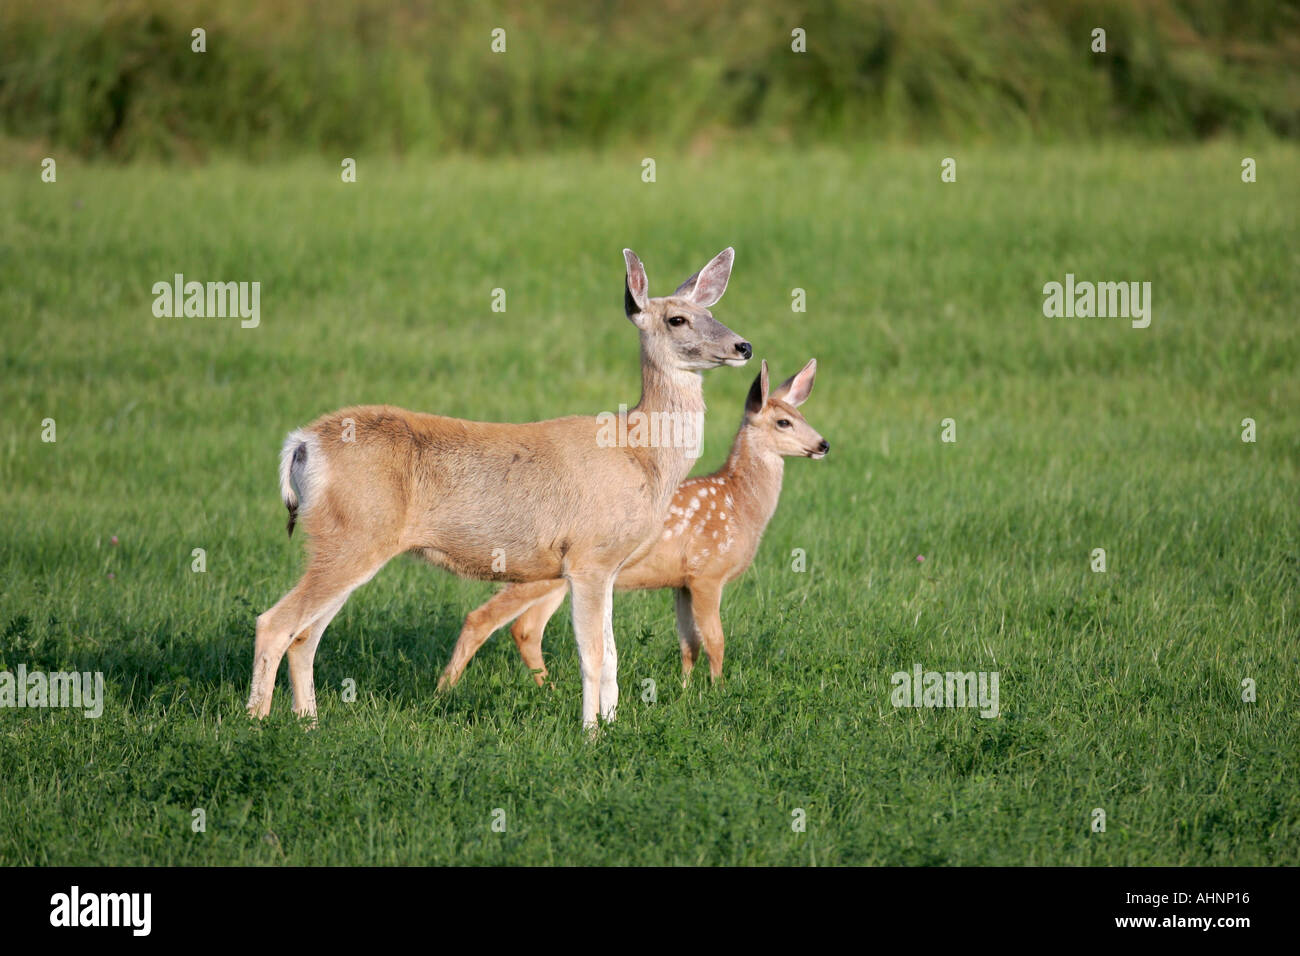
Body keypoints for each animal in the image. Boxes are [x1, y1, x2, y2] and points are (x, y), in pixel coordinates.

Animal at [246, 248, 752, 731]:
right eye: (677, 319)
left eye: (711, 311)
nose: (743, 345)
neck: (638, 451)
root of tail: (302, 443)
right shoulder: (587, 557)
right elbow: (592, 655)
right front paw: (591, 734)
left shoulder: (609, 565)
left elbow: (611, 657)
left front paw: (612, 726)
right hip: (353, 535)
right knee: (274, 623)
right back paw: (257, 725)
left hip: (346, 541)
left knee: (303, 636)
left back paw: (308, 724)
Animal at [435, 357, 826, 691]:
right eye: (783, 422)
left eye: (801, 415)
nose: (824, 444)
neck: (739, 504)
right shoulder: (707, 573)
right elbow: (716, 640)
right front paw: (719, 691)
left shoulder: (681, 582)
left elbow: (689, 644)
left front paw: (686, 691)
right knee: (482, 619)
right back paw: (445, 693)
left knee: (525, 629)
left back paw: (548, 690)